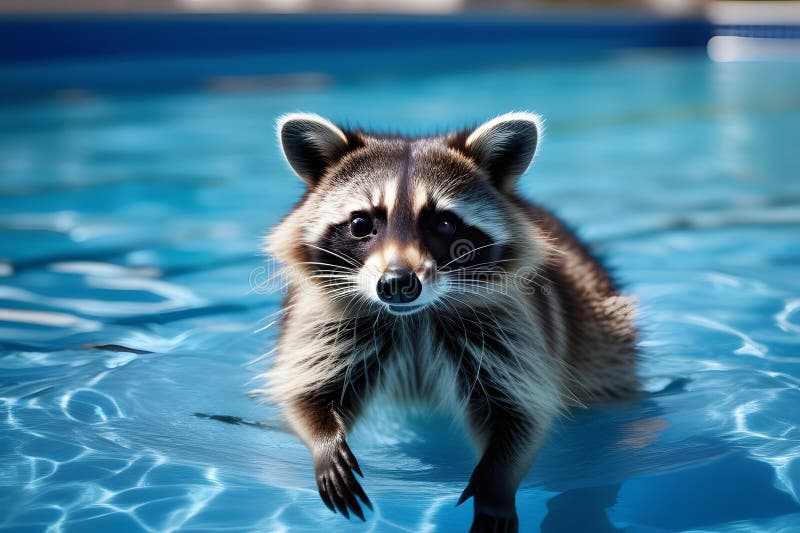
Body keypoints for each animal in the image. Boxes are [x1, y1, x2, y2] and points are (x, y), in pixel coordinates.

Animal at [257, 112, 637, 533]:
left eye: (443, 223)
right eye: (360, 224)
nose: (397, 284)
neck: (414, 320)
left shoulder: (512, 327)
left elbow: (522, 413)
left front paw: (496, 483)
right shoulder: (327, 320)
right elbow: (307, 392)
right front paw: (324, 441)